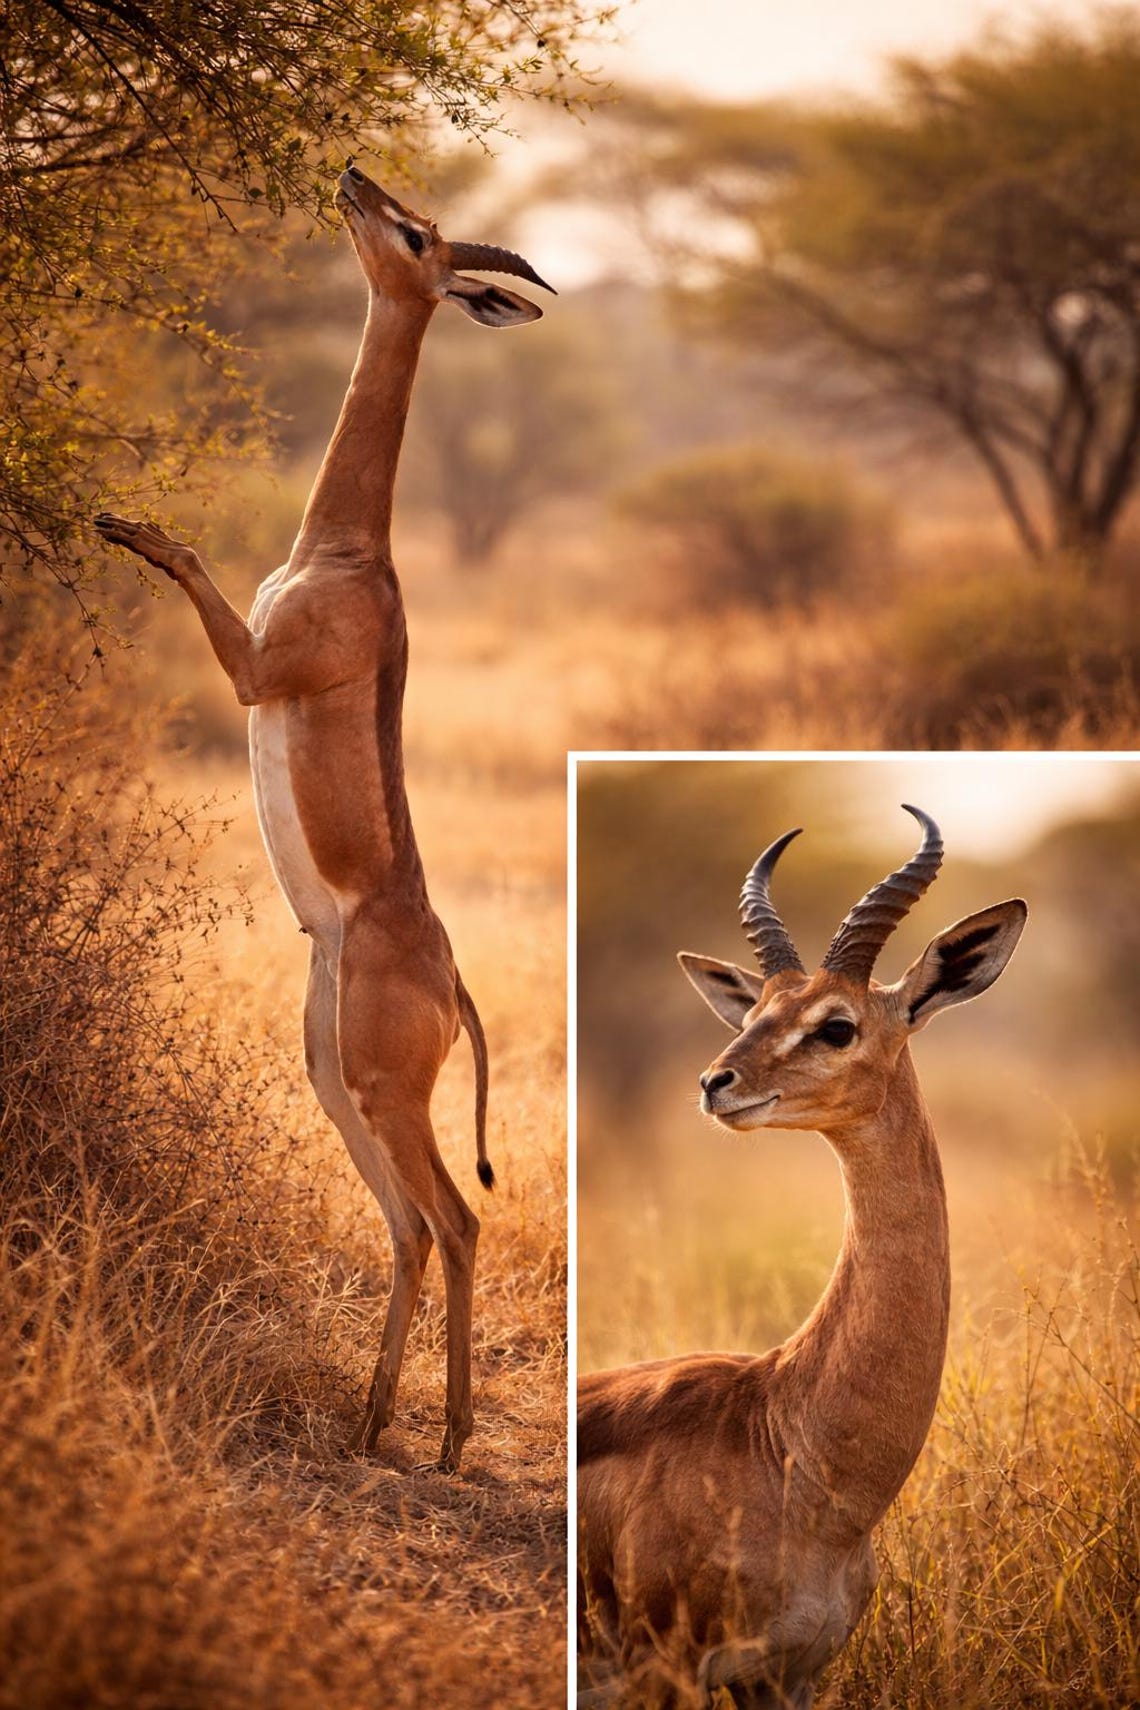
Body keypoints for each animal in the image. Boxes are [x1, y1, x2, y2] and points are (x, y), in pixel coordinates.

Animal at [94, 166, 554, 1471]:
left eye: (415, 234)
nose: (351, 177)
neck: (341, 556)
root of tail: (452, 980)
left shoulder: (254, 670)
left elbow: (185, 553)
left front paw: (121, 523)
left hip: (384, 1091)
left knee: (455, 1220)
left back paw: (446, 1442)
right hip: (332, 1080)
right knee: (407, 1228)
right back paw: (369, 1420)